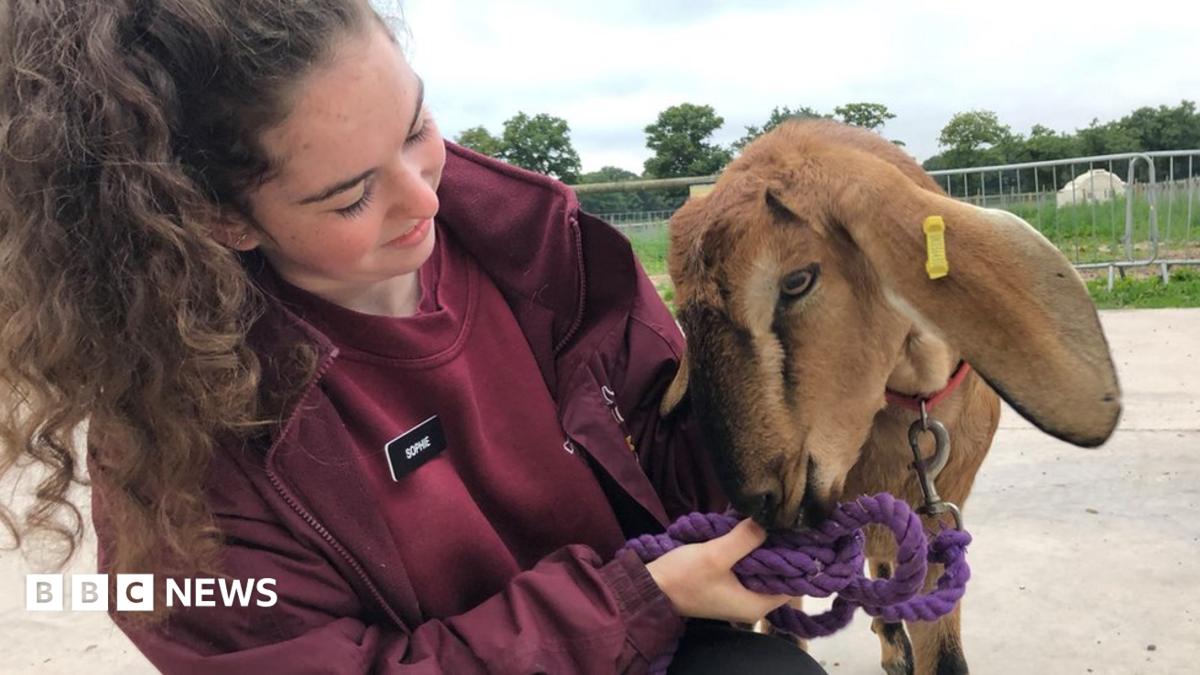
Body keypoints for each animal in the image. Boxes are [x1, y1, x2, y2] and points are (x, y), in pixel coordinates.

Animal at [659, 119, 1121, 675]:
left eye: (797, 280)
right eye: (684, 311)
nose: (759, 500)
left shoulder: (940, 522)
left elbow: (944, 654)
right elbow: (784, 631)